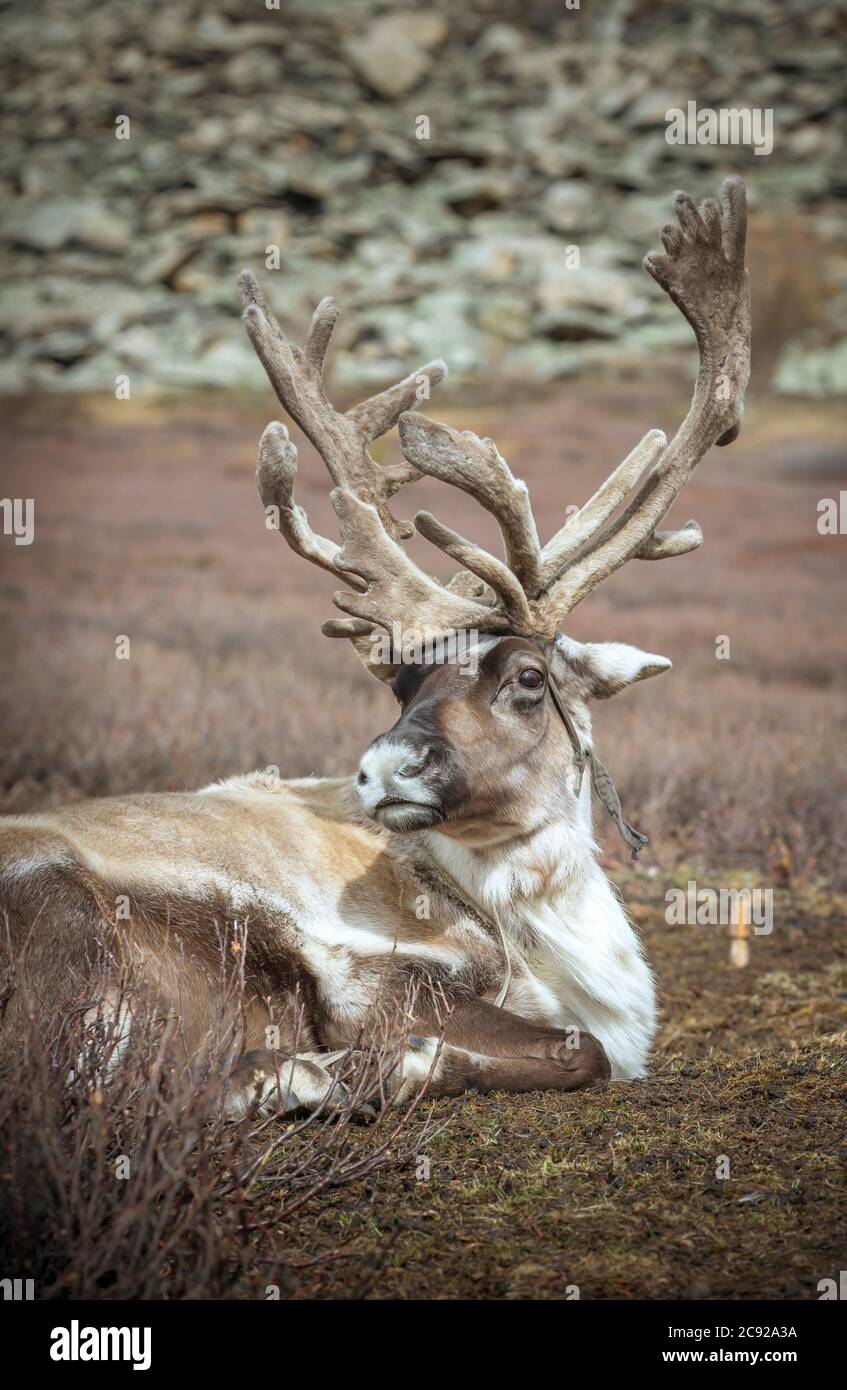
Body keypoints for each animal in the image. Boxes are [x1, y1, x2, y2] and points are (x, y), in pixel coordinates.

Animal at [0, 180, 750, 1115]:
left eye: (527, 676)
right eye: (401, 683)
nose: (385, 768)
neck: (530, 923)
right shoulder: (368, 974)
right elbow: (580, 1050)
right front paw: (389, 1062)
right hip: (62, 914)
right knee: (98, 1085)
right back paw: (305, 1074)